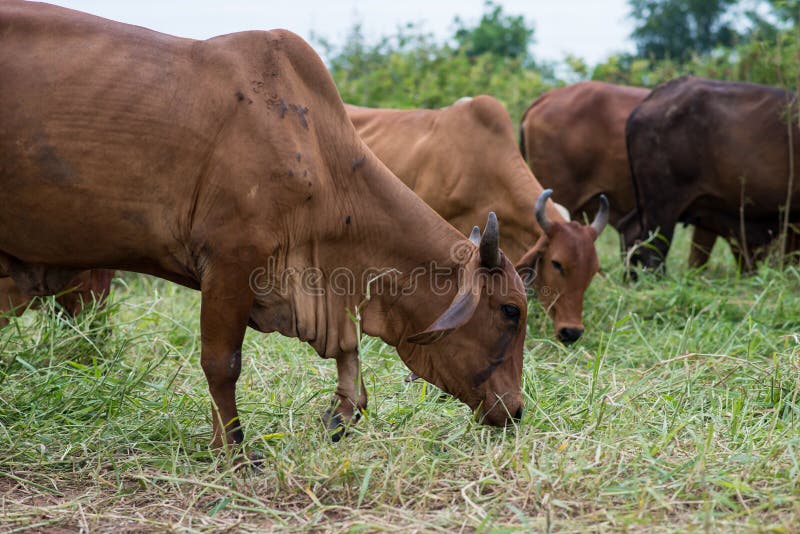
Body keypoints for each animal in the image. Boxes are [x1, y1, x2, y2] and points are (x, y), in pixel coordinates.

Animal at [0, 2, 529, 451]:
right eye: (510, 310)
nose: (517, 410)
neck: (322, 157)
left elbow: (349, 358)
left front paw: (338, 416)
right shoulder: (230, 261)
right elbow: (222, 364)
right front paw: (232, 450)